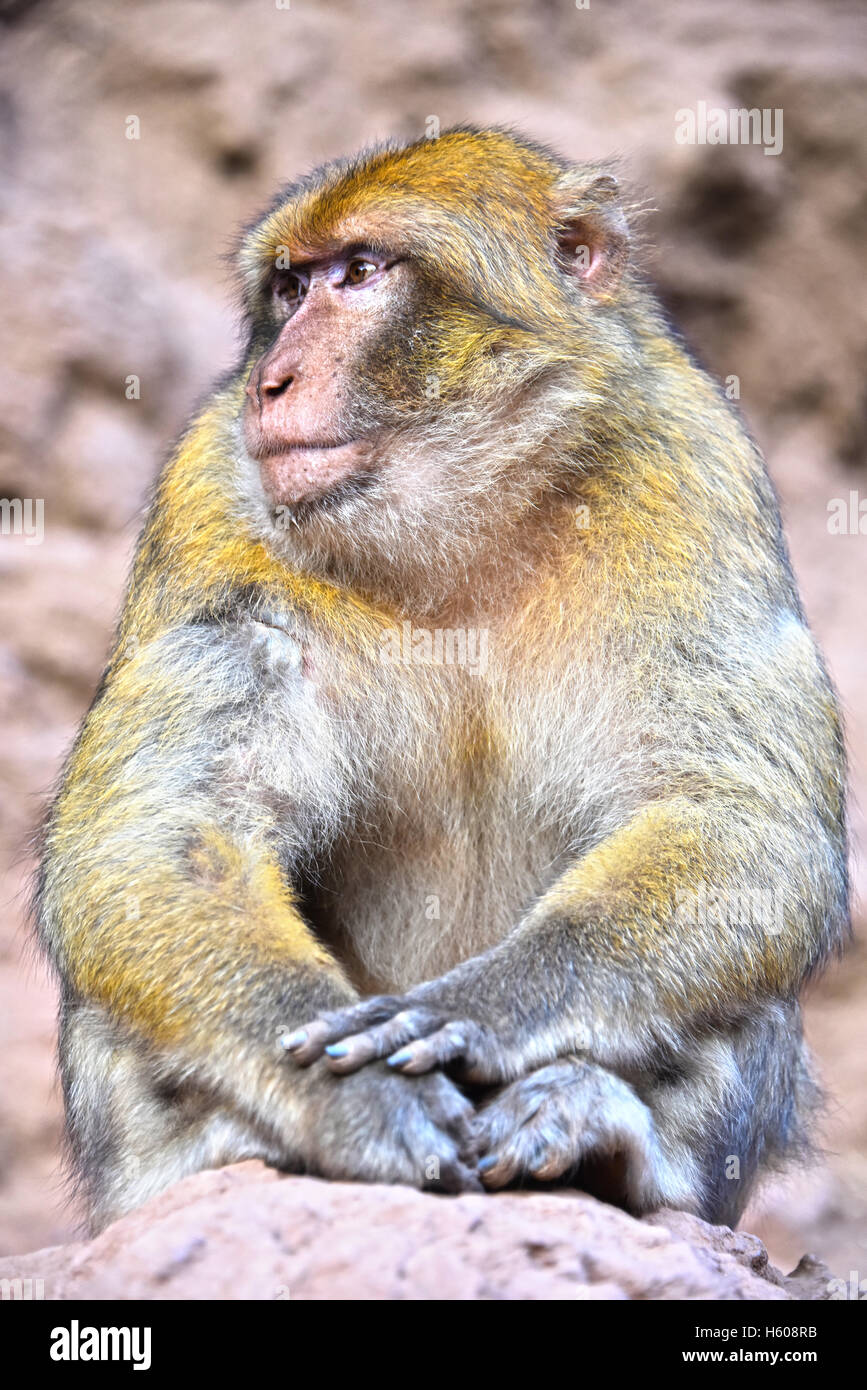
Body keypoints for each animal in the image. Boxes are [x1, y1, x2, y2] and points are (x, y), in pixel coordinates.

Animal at [35, 126, 848, 1235]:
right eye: (290, 287)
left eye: (360, 273)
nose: (271, 381)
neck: (465, 530)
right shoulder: (206, 502)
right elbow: (159, 836)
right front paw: (352, 1097)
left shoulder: (691, 468)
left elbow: (737, 820)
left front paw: (483, 1009)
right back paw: (236, 1150)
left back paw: (609, 1140)